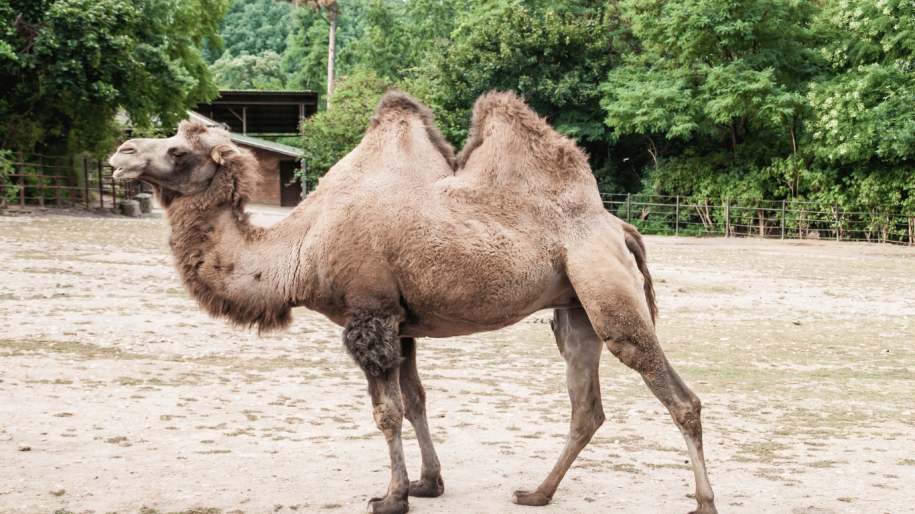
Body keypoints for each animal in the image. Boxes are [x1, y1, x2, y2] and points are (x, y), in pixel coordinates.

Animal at [109, 91, 718, 514]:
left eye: (178, 150)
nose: (121, 151)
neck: (299, 250)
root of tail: (617, 224)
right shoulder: (400, 325)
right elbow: (417, 400)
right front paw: (429, 483)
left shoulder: (368, 315)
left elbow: (386, 412)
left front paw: (392, 497)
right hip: (575, 309)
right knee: (586, 405)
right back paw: (535, 493)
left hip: (606, 290)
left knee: (677, 394)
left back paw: (704, 502)